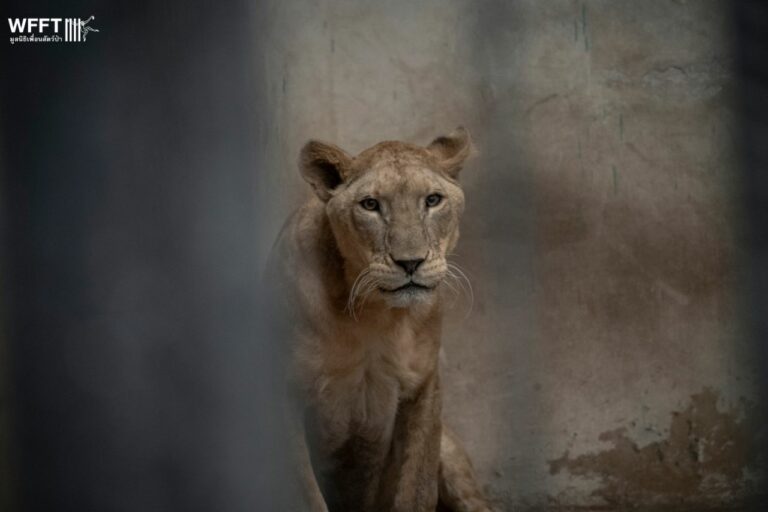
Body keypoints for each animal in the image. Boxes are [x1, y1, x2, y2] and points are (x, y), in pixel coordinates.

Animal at [266, 127, 494, 512]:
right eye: (370, 205)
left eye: (433, 200)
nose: (411, 262)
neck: (373, 316)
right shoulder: (283, 395)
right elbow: (304, 497)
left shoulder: (423, 387)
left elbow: (415, 488)